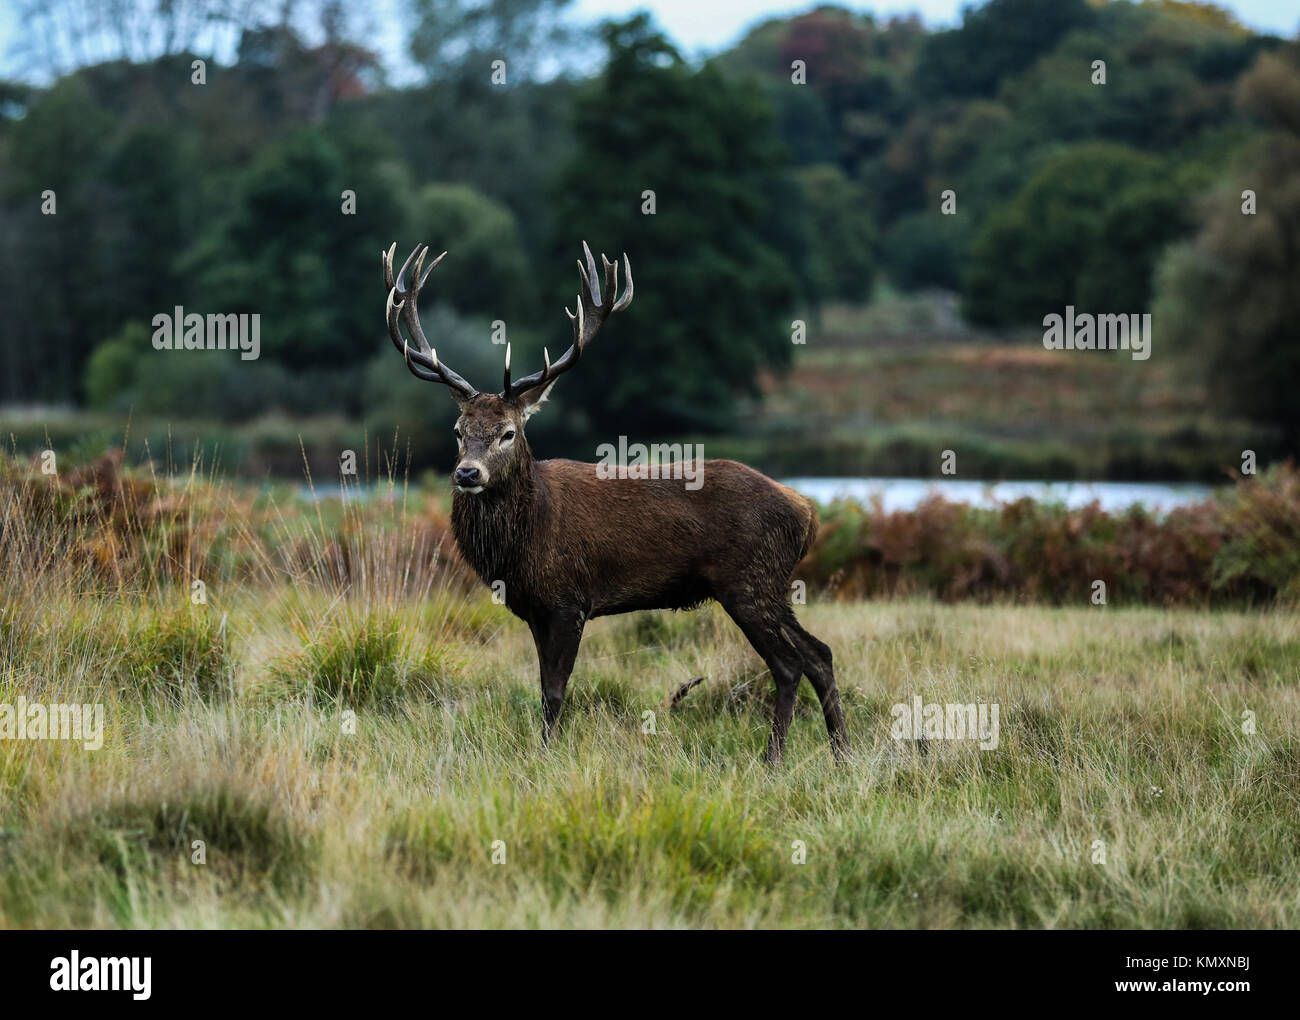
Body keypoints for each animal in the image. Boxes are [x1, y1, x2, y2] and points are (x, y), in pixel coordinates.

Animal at [381, 241, 849, 764]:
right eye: (458, 430)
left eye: (508, 432)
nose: (467, 473)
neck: (523, 544)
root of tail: (807, 511)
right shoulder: (534, 609)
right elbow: (541, 686)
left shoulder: (570, 598)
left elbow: (555, 691)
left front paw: (546, 756)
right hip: (773, 584)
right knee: (819, 654)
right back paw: (841, 754)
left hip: (749, 579)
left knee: (789, 664)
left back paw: (773, 759)